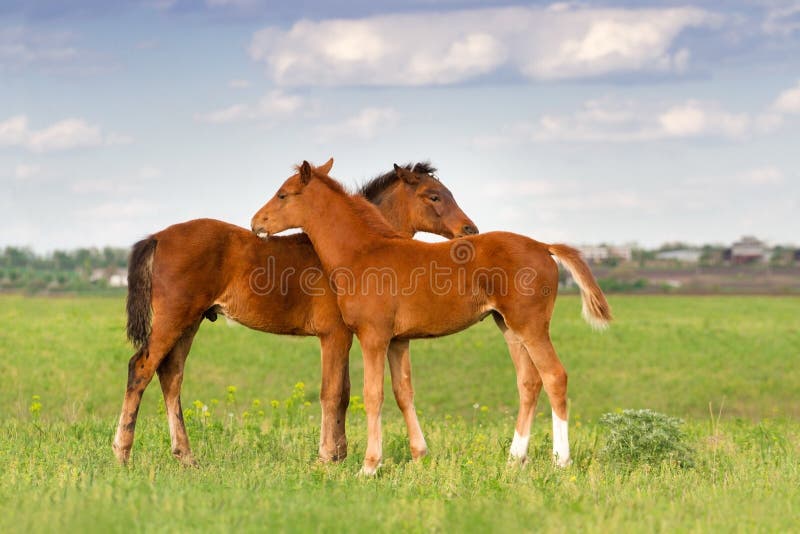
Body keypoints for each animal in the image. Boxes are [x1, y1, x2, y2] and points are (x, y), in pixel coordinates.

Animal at [112, 159, 479, 466]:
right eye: (433, 196)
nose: (469, 230)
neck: (353, 247)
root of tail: (158, 237)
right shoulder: (335, 334)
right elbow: (332, 392)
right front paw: (328, 456)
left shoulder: (344, 336)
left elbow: (343, 392)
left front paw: (340, 452)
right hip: (173, 319)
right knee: (140, 369)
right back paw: (122, 452)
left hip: (189, 323)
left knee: (171, 375)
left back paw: (185, 455)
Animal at [250, 161, 612, 475]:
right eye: (434, 195)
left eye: (283, 194)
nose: (256, 222)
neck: (363, 253)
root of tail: (543, 245)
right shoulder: (397, 340)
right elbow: (402, 392)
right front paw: (417, 456)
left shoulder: (373, 336)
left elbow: (372, 395)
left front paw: (369, 466)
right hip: (508, 326)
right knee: (529, 382)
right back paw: (514, 459)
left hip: (532, 326)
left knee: (554, 376)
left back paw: (560, 461)